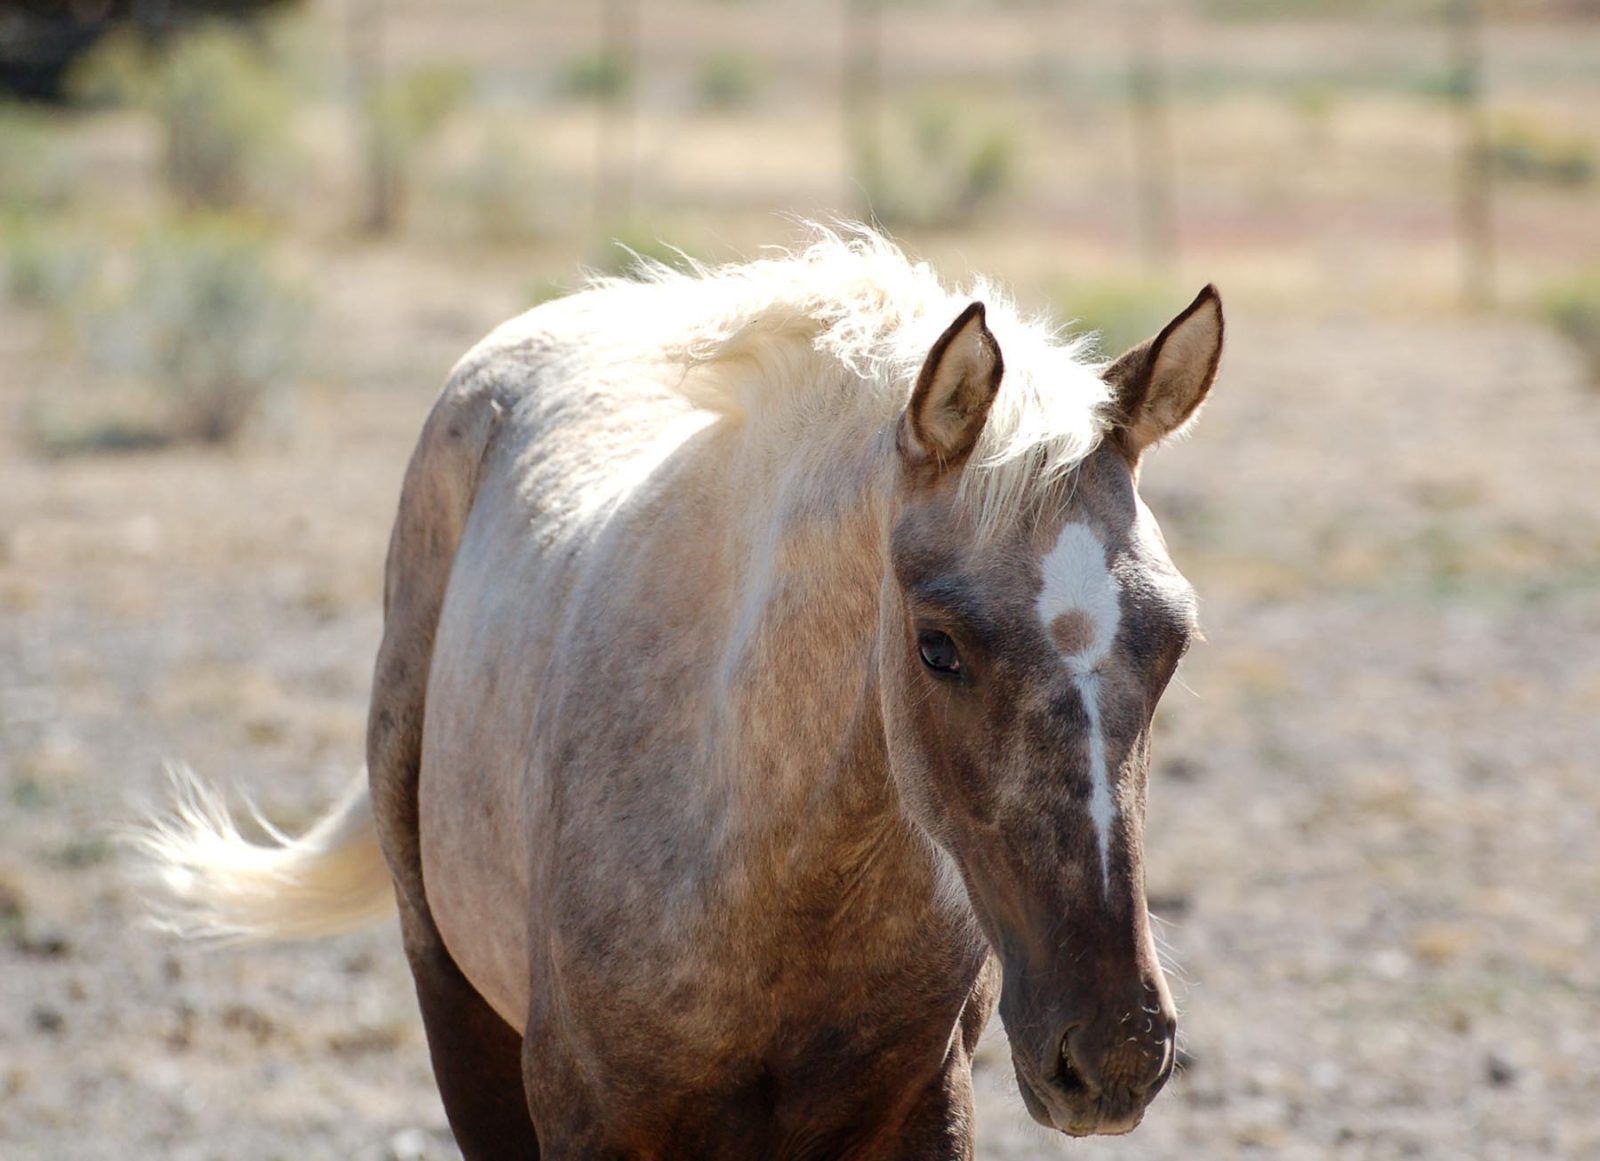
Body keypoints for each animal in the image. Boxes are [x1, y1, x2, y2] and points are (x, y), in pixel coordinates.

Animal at [138, 229, 1224, 1159]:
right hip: (453, 1001)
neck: (758, 875)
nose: (1117, 1049)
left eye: (1173, 642)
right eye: (938, 647)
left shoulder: (921, 1115)